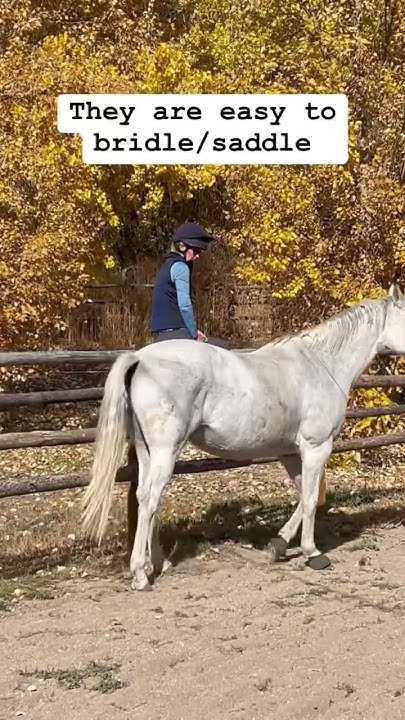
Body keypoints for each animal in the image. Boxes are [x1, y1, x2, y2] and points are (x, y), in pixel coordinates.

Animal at [81, 284, 405, 591]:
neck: (322, 365)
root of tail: (139, 359)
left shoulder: (290, 452)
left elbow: (304, 496)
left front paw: (279, 544)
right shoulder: (316, 448)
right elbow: (312, 499)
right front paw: (312, 553)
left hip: (147, 451)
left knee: (145, 499)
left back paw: (160, 562)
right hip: (165, 450)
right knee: (150, 498)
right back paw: (140, 575)